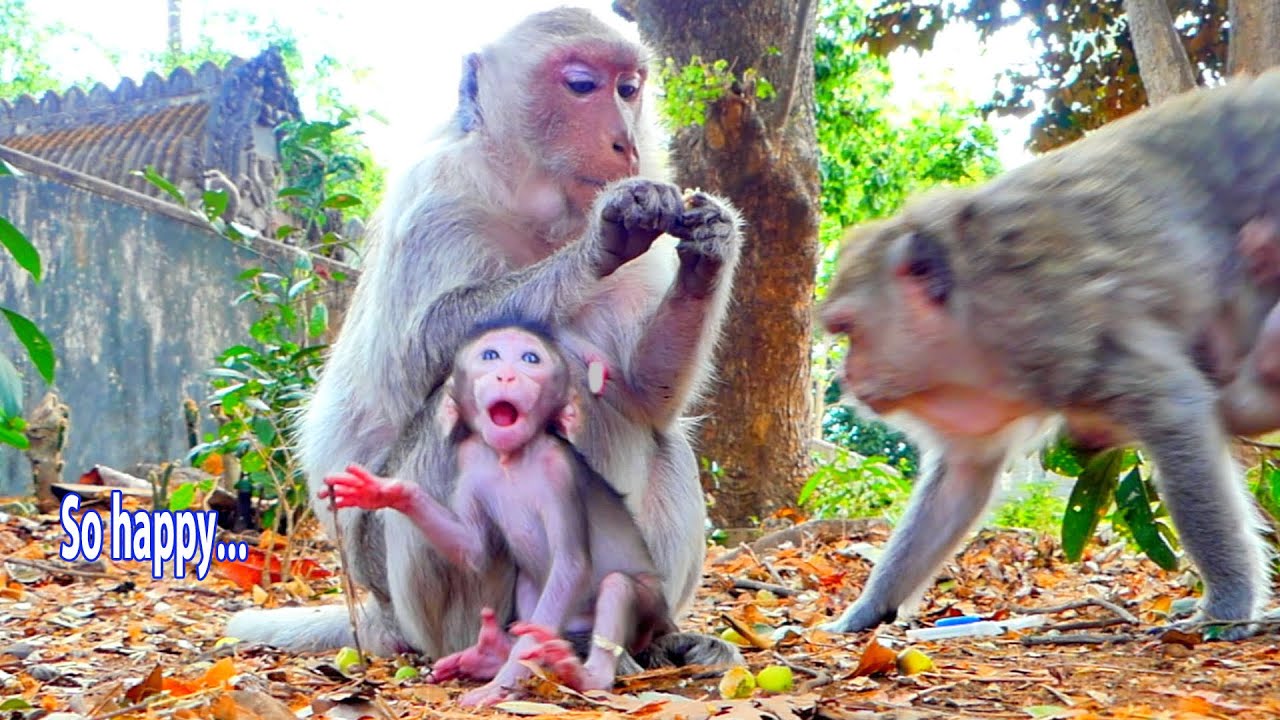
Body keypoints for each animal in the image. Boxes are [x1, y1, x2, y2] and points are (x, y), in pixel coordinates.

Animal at [320, 321, 675, 705]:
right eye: (490, 355)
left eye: (531, 359)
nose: (506, 375)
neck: (510, 461)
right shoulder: (471, 460)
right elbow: (473, 550)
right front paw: (389, 492)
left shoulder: (557, 471)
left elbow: (570, 565)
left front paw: (502, 683)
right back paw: (491, 652)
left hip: (651, 606)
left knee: (616, 587)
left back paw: (586, 675)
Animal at [816, 68, 1280, 641]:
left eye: (850, 331)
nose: (846, 375)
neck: (972, 307)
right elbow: (961, 477)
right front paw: (866, 609)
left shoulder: (1059, 321)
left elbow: (1175, 410)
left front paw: (1228, 604)